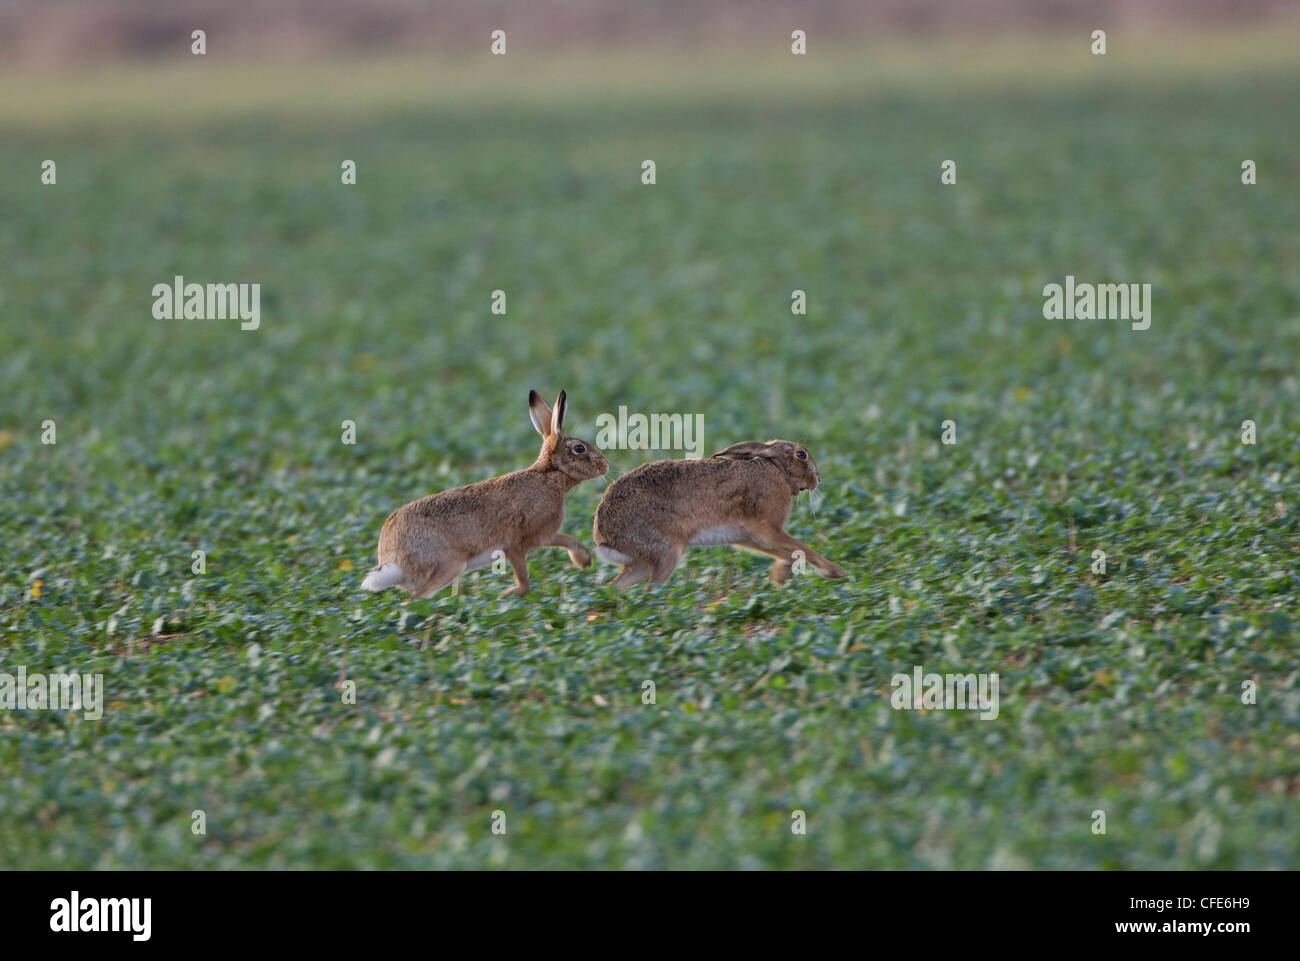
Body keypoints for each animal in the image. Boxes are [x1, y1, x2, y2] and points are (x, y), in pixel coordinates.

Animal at [361, 389, 608, 602]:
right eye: (579, 448)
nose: (605, 465)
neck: (548, 476)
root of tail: (390, 559)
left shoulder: (543, 535)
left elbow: (566, 539)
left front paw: (584, 560)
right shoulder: (515, 545)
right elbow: (524, 579)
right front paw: (508, 595)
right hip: (449, 564)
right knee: (415, 599)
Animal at [592, 439, 847, 589]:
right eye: (801, 454)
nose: (818, 479)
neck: (777, 470)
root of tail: (602, 537)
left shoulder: (748, 537)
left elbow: (789, 552)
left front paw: (779, 577)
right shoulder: (766, 530)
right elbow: (802, 549)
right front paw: (835, 571)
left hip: (643, 562)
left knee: (616, 587)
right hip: (666, 552)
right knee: (651, 587)